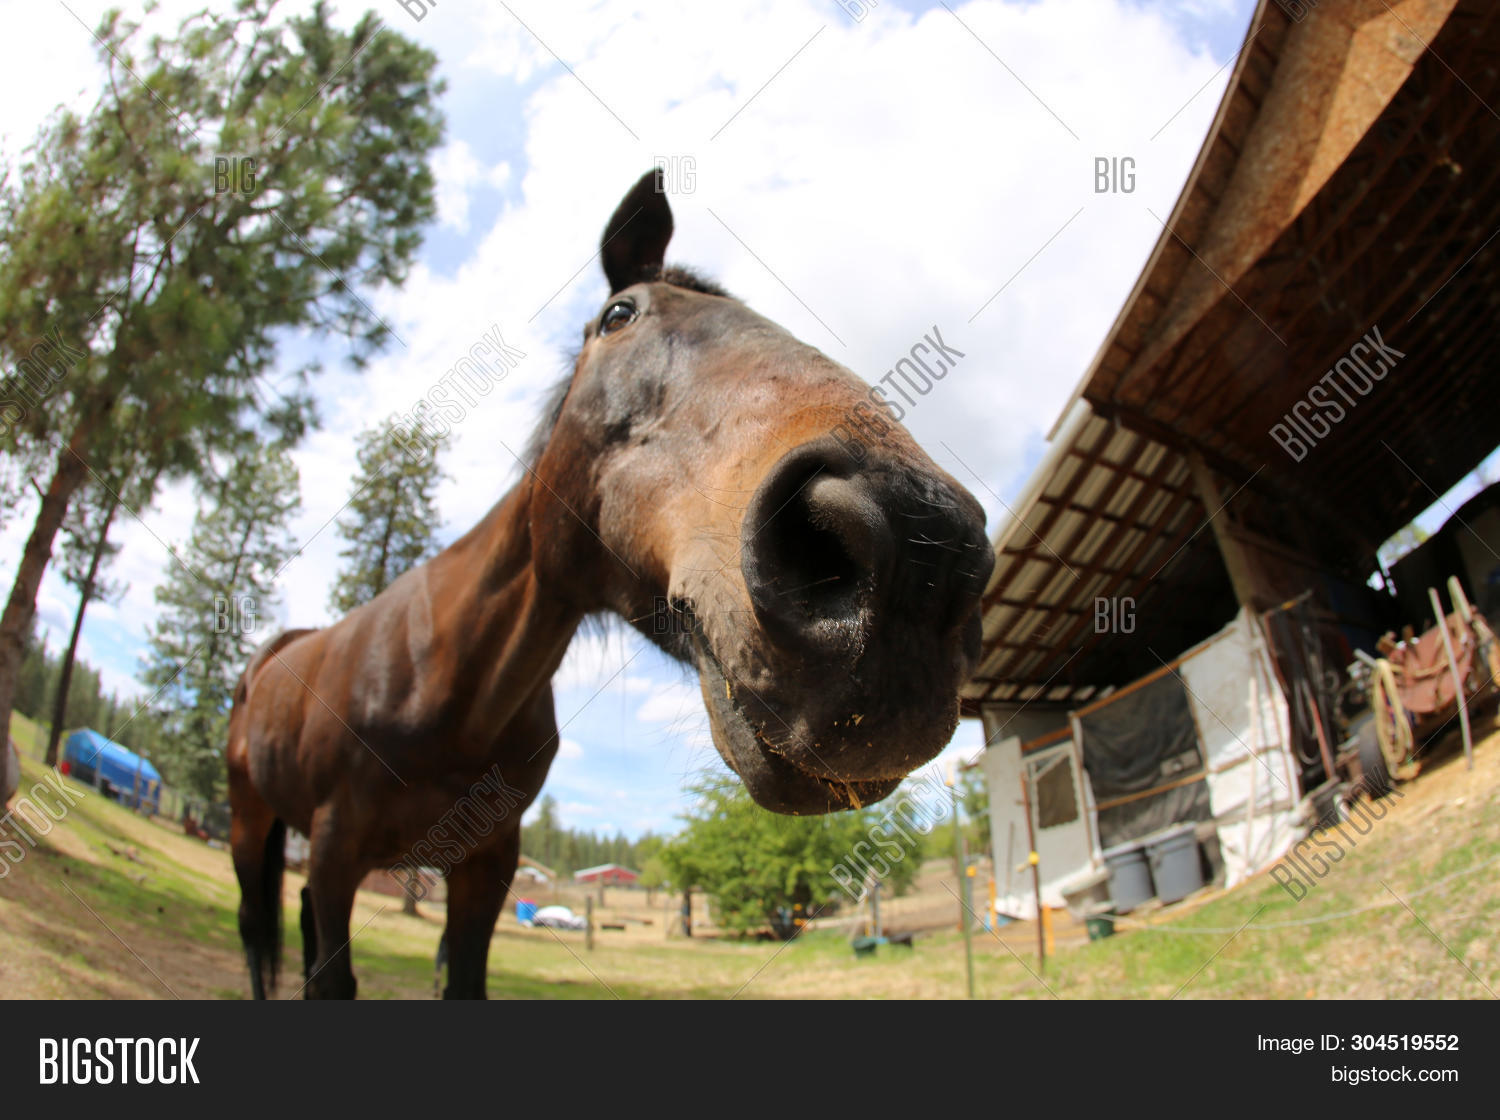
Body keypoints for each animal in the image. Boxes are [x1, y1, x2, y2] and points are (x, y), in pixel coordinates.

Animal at [226, 169, 995, 998]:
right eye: (618, 315)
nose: (921, 547)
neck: (455, 692)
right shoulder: (335, 852)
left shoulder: (485, 868)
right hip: (250, 823)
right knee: (255, 931)